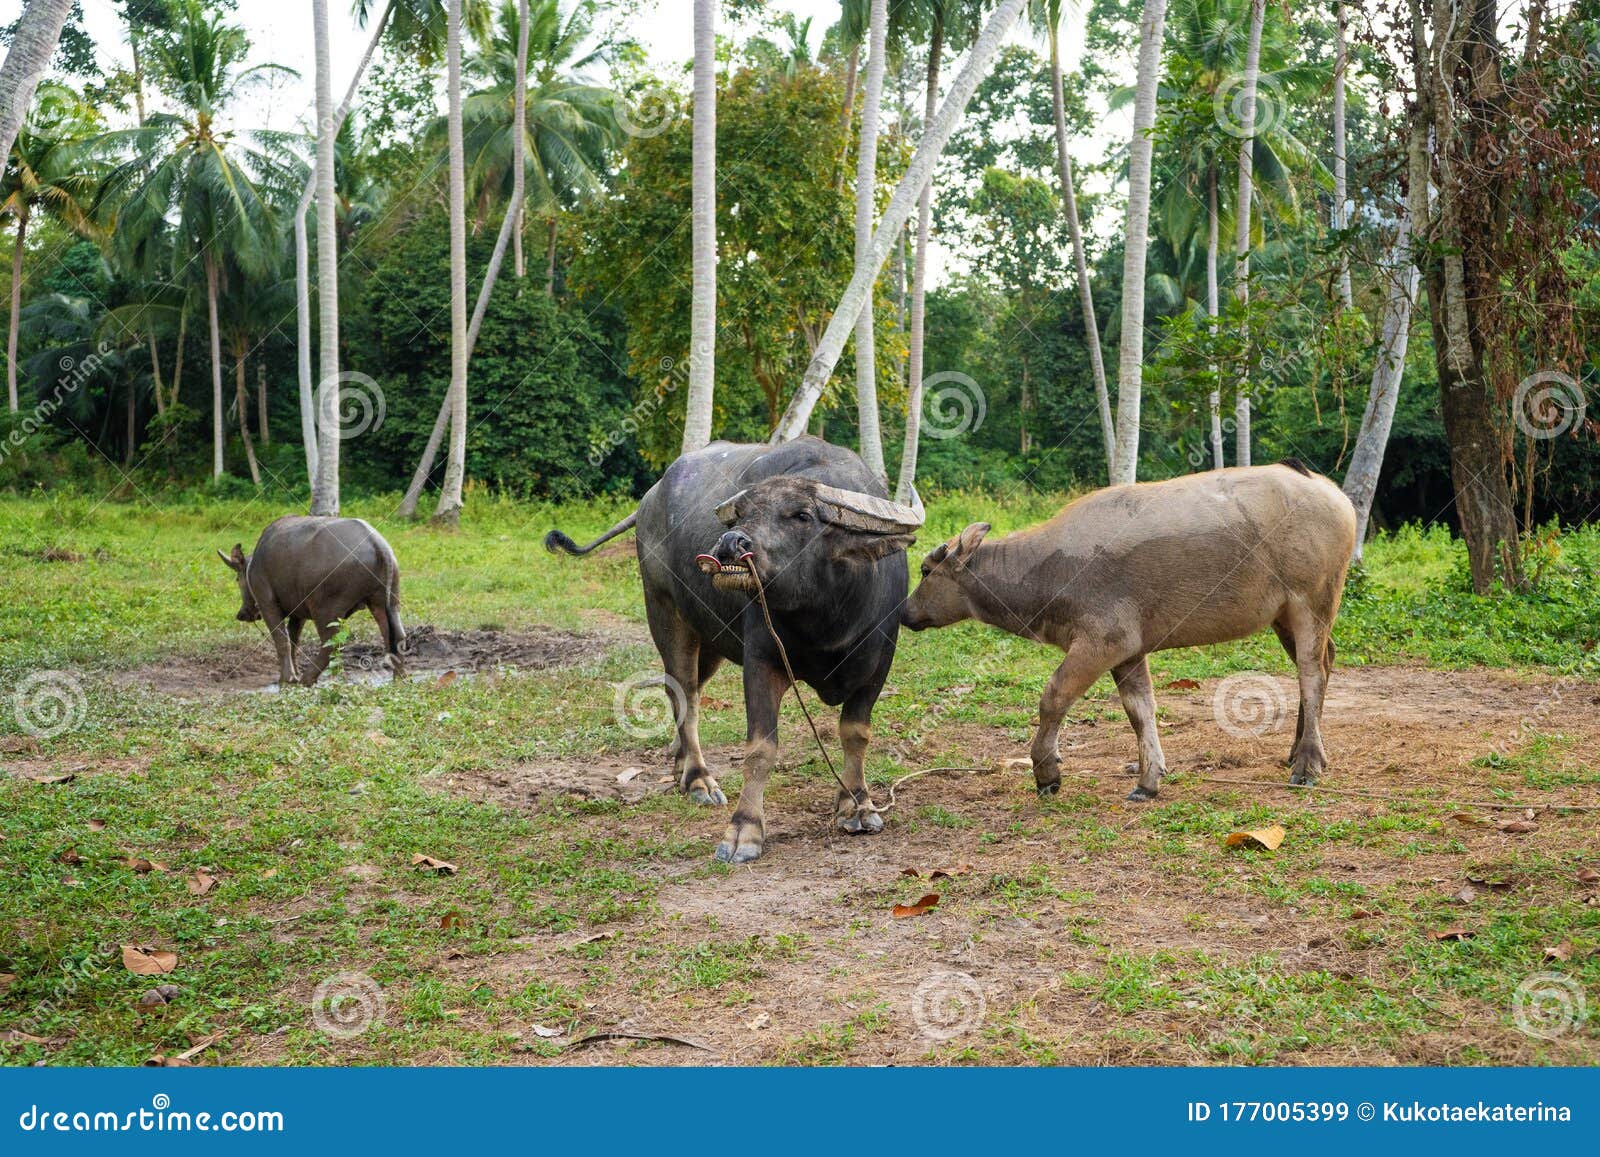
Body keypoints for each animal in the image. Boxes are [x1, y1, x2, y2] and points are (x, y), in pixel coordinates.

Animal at [547, 437, 923, 863]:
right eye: (740, 514)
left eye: (802, 515)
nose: (731, 542)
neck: (826, 615)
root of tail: (649, 501)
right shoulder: (761, 660)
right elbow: (760, 749)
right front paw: (745, 831)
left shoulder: (878, 665)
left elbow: (856, 734)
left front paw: (857, 805)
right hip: (664, 612)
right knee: (684, 695)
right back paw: (698, 778)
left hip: (710, 640)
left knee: (687, 691)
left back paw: (679, 763)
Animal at [901, 461, 1356, 800]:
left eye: (924, 570)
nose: (904, 612)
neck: (1047, 568)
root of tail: (1330, 491)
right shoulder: (1129, 652)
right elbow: (1141, 710)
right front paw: (1148, 780)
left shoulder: (1100, 644)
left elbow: (1054, 697)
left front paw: (1047, 771)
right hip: (1282, 616)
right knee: (1323, 661)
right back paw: (1297, 750)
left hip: (1312, 603)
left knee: (1311, 673)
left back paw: (1307, 764)